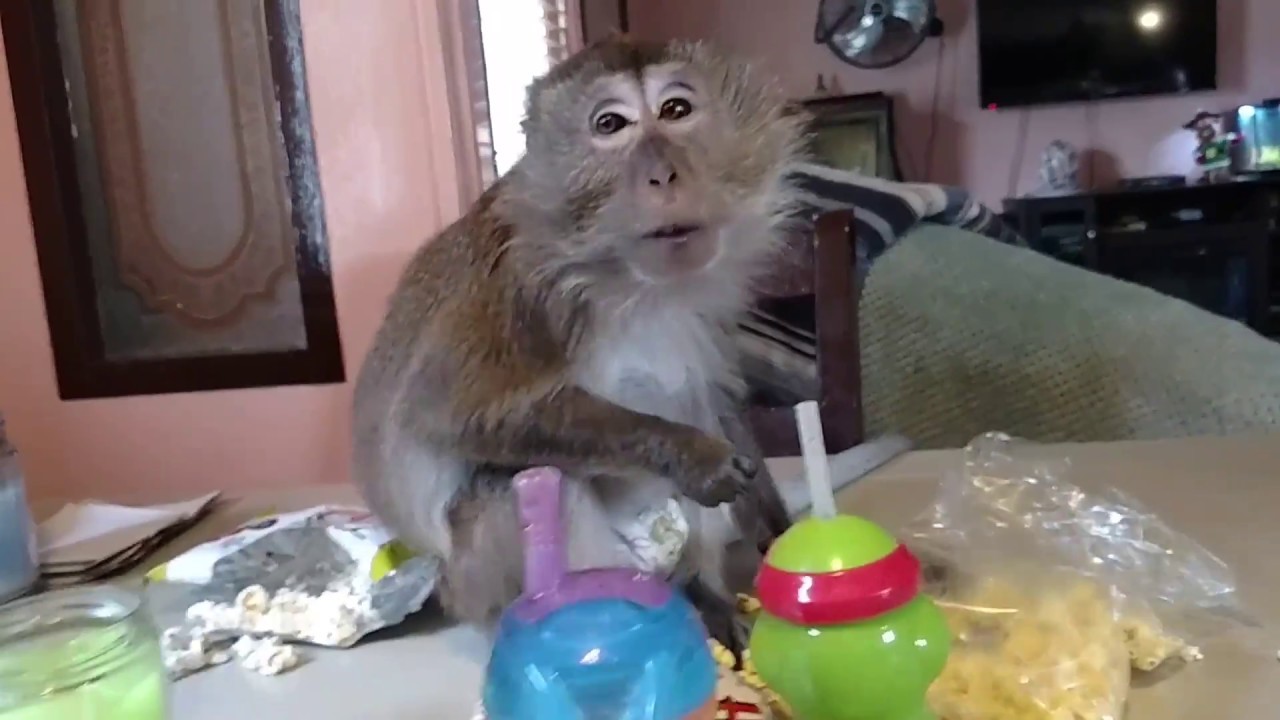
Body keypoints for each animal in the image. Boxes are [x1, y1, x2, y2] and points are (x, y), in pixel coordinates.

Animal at [352, 36, 809, 658]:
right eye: (610, 124)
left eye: (676, 110)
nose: (663, 176)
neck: (624, 277)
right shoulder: (519, 287)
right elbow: (446, 412)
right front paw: (693, 456)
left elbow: (718, 403)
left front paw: (787, 542)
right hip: (483, 584)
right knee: (513, 486)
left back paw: (702, 591)